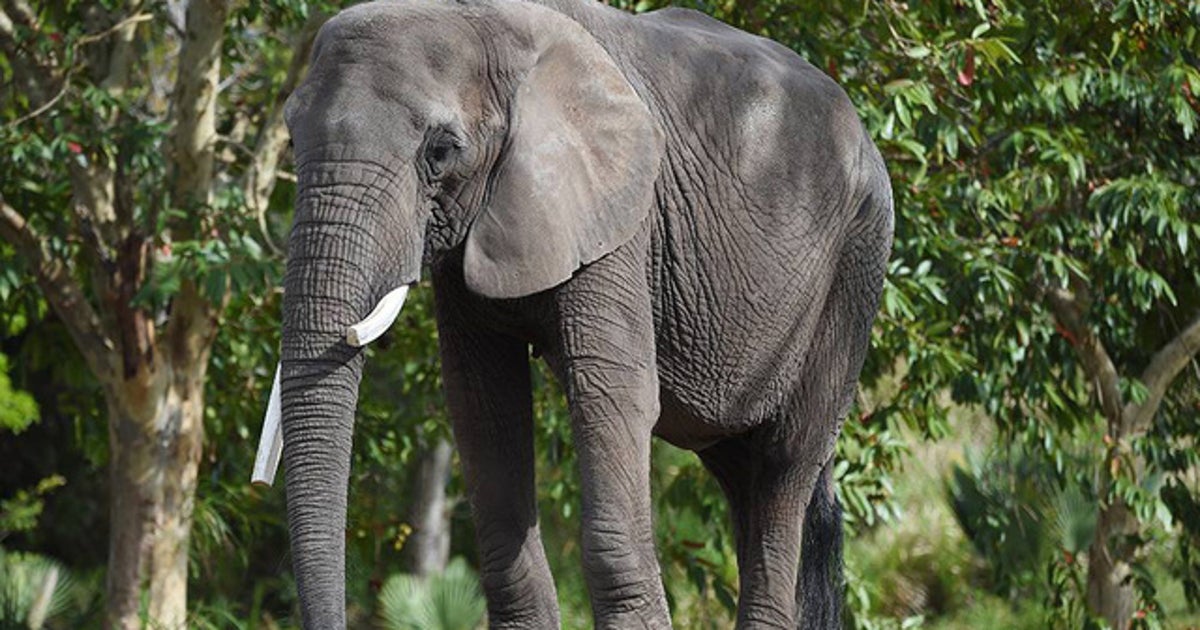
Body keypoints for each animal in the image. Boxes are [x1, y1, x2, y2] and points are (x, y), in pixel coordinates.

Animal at [255, 0, 893, 627]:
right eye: (291, 138)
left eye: (439, 151)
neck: (483, 21)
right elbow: (483, 405)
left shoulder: (619, 216)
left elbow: (613, 394)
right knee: (743, 474)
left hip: (857, 263)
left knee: (784, 467)